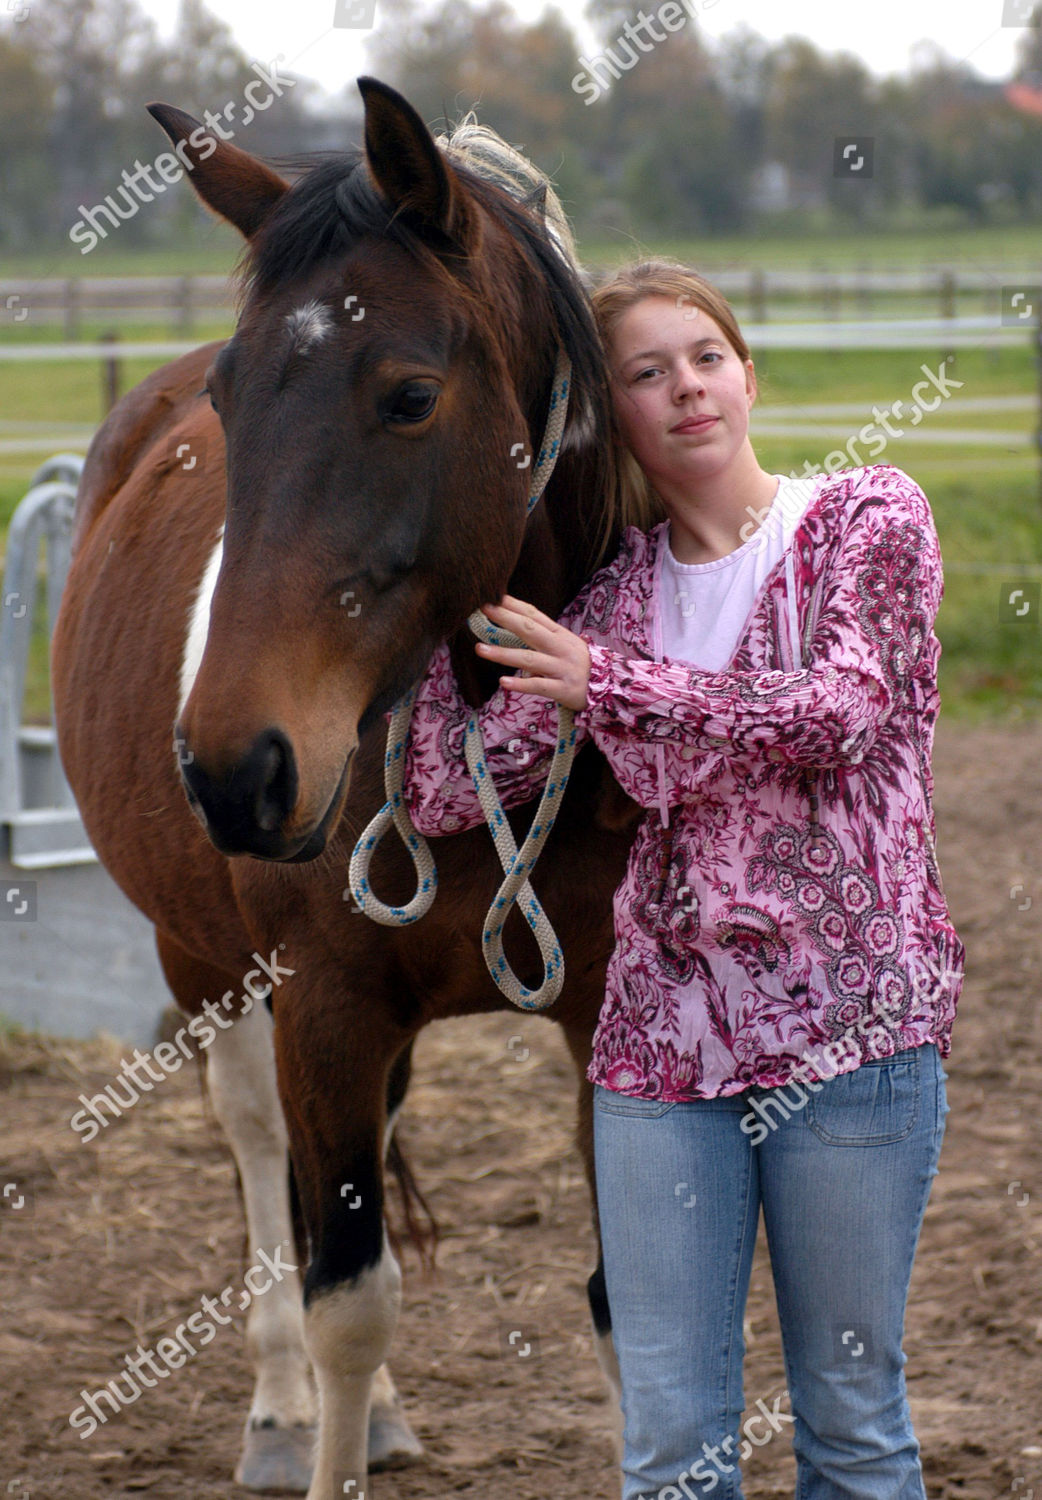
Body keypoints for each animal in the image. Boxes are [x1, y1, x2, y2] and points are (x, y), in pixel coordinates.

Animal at [52, 76, 642, 1498]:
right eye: (230, 396)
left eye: (410, 395)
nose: (234, 767)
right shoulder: (323, 1007)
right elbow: (347, 1302)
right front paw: (317, 1423)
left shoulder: (605, 1006)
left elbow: (628, 1304)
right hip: (205, 966)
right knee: (261, 1151)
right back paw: (279, 1415)